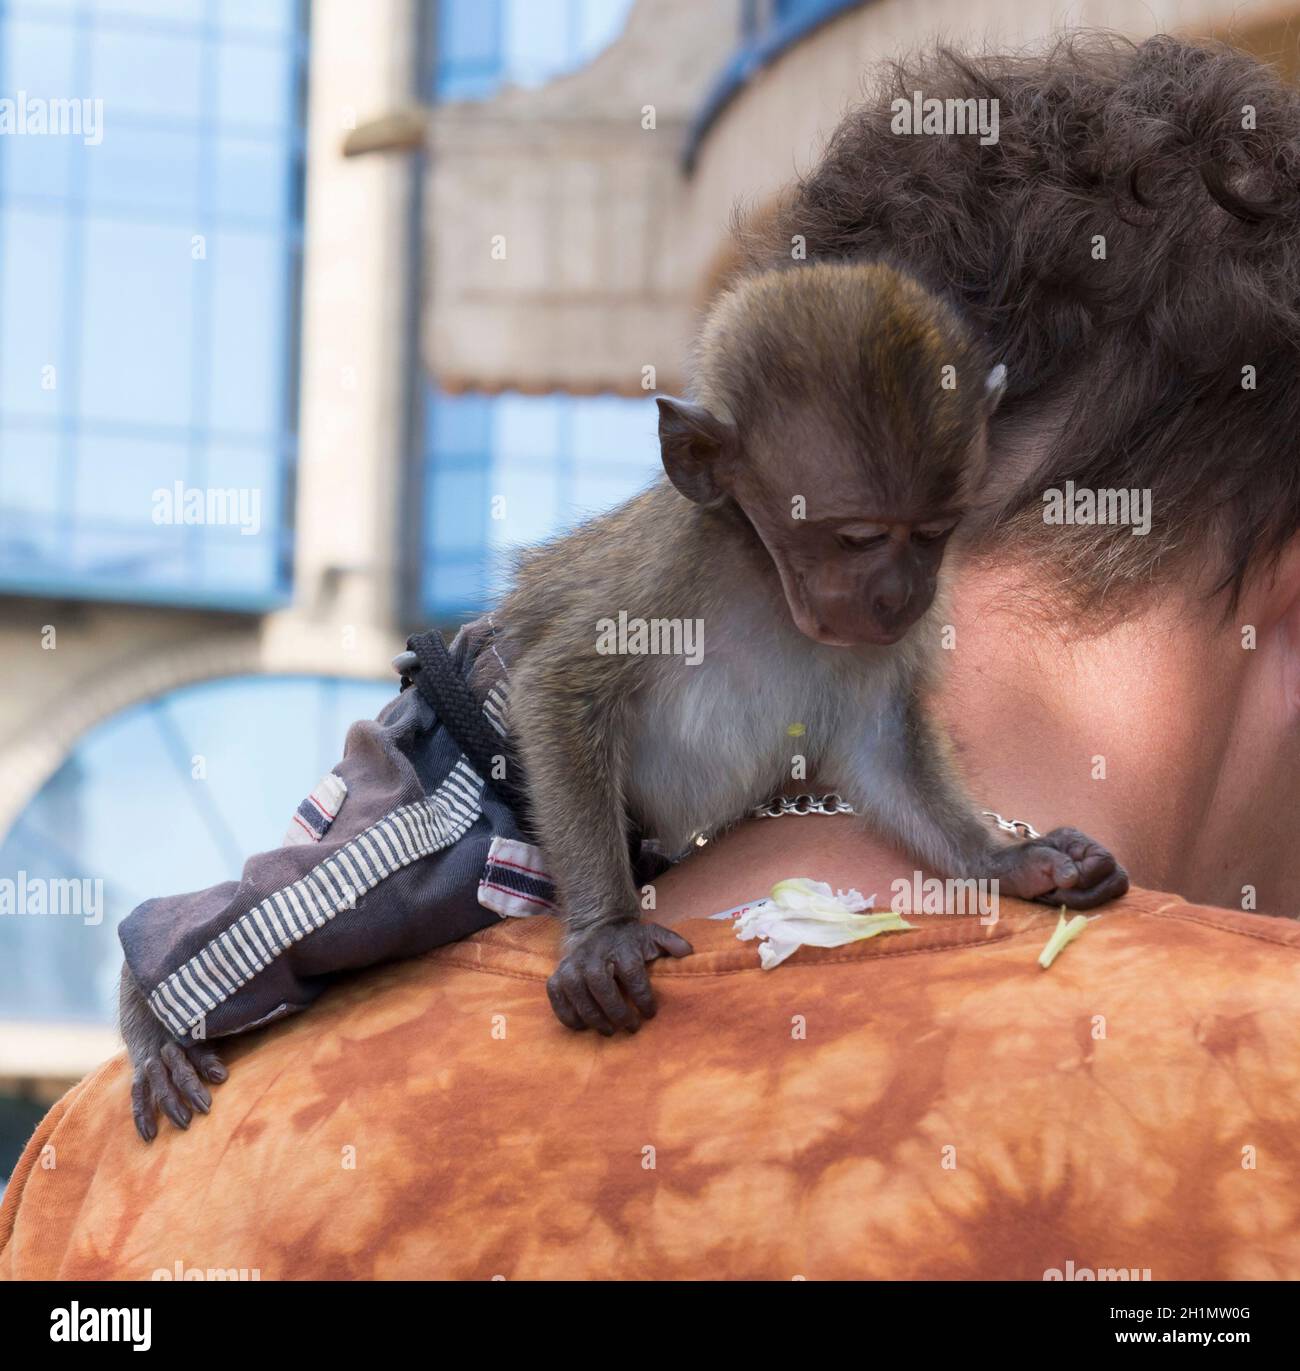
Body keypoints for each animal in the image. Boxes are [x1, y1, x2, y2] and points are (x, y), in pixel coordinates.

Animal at [119, 258, 1127, 1135]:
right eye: (855, 536)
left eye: (936, 532)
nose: (900, 595)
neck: (766, 580)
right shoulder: (671, 566)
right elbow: (561, 687)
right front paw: (605, 933)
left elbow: (885, 756)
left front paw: (1011, 861)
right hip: (440, 763)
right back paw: (151, 1017)